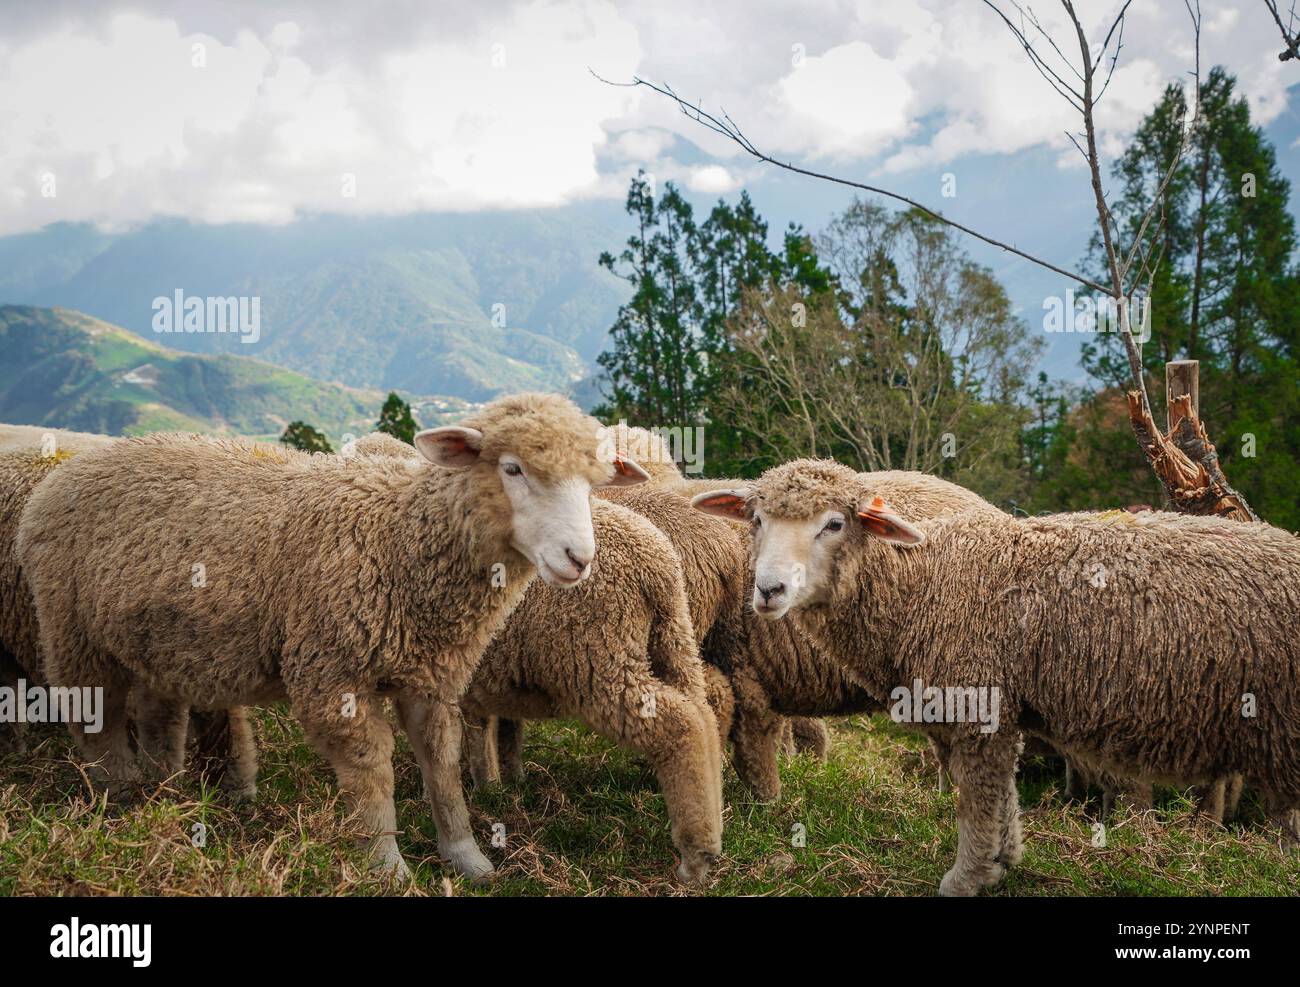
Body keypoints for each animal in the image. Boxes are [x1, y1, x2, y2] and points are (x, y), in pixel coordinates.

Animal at [15, 393, 648, 880]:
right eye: (512, 469)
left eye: (593, 484)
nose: (579, 558)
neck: (399, 538)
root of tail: (63, 473)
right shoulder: (332, 673)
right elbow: (372, 774)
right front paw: (388, 867)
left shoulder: (432, 675)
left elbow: (442, 767)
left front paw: (467, 858)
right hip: (73, 629)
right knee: (94, 719)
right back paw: (121, 800)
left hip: (156, 638)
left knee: (158, 715)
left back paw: (165, 791)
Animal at [694, 458, 1300, 896]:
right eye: (756, 521)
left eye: (834, 524)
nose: (768, 590)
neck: (922, 582)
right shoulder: (993, 707)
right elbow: (1001, 793)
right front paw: (1004, 860)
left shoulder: (976, 702)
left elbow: (979, 797)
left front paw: (969, 876)